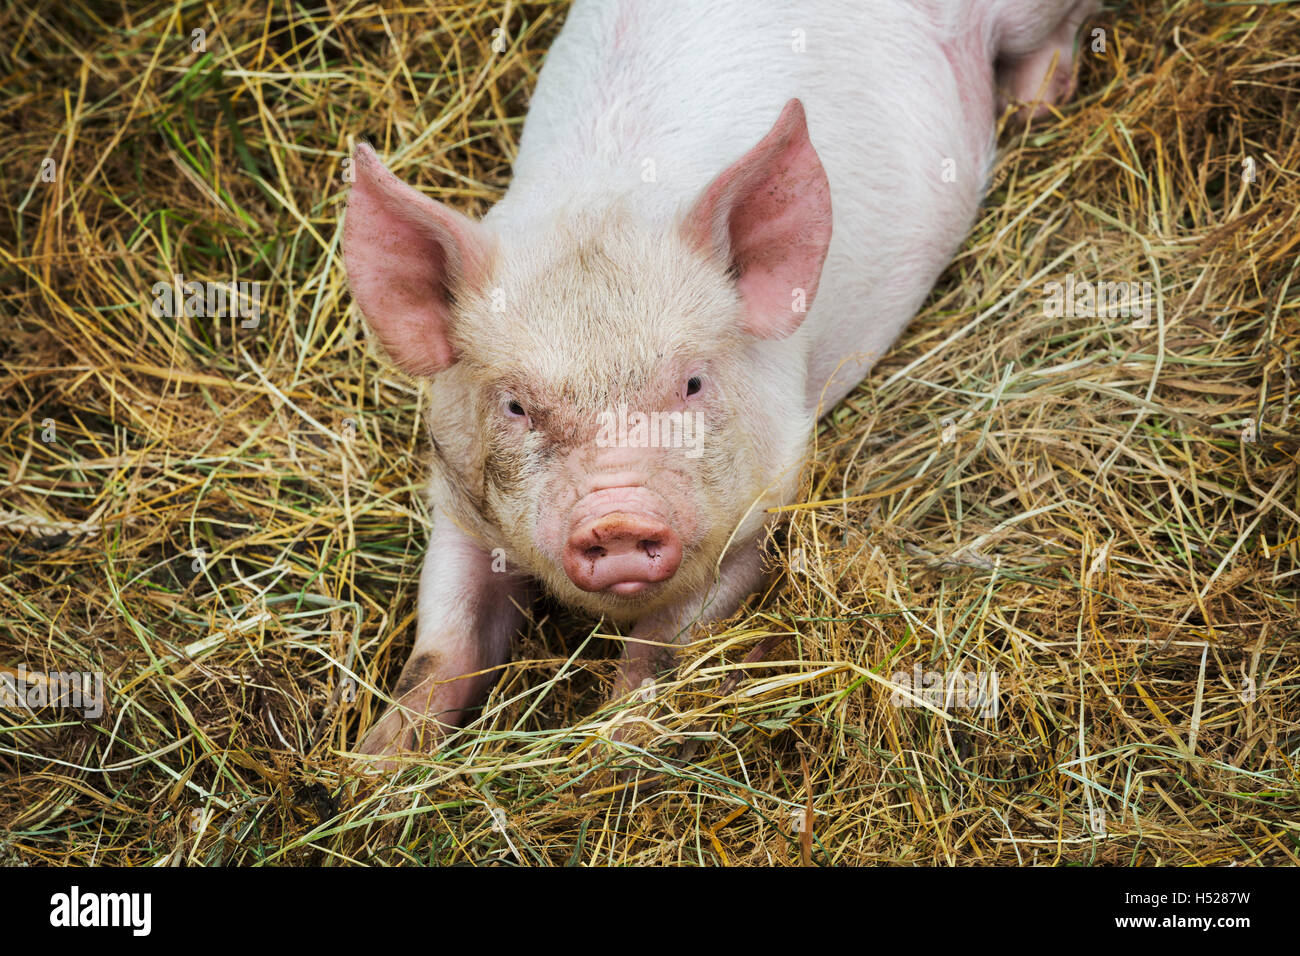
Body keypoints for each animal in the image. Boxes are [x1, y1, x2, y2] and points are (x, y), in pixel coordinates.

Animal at [343, 0, 1097, 759]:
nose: (617, 517)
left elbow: (659, 651)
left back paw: (1037, 100)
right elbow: (441, 648)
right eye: (516, 405)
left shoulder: (766, 502)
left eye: (694, 384)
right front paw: (370, 766)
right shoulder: (455, 500)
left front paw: (618, 746)